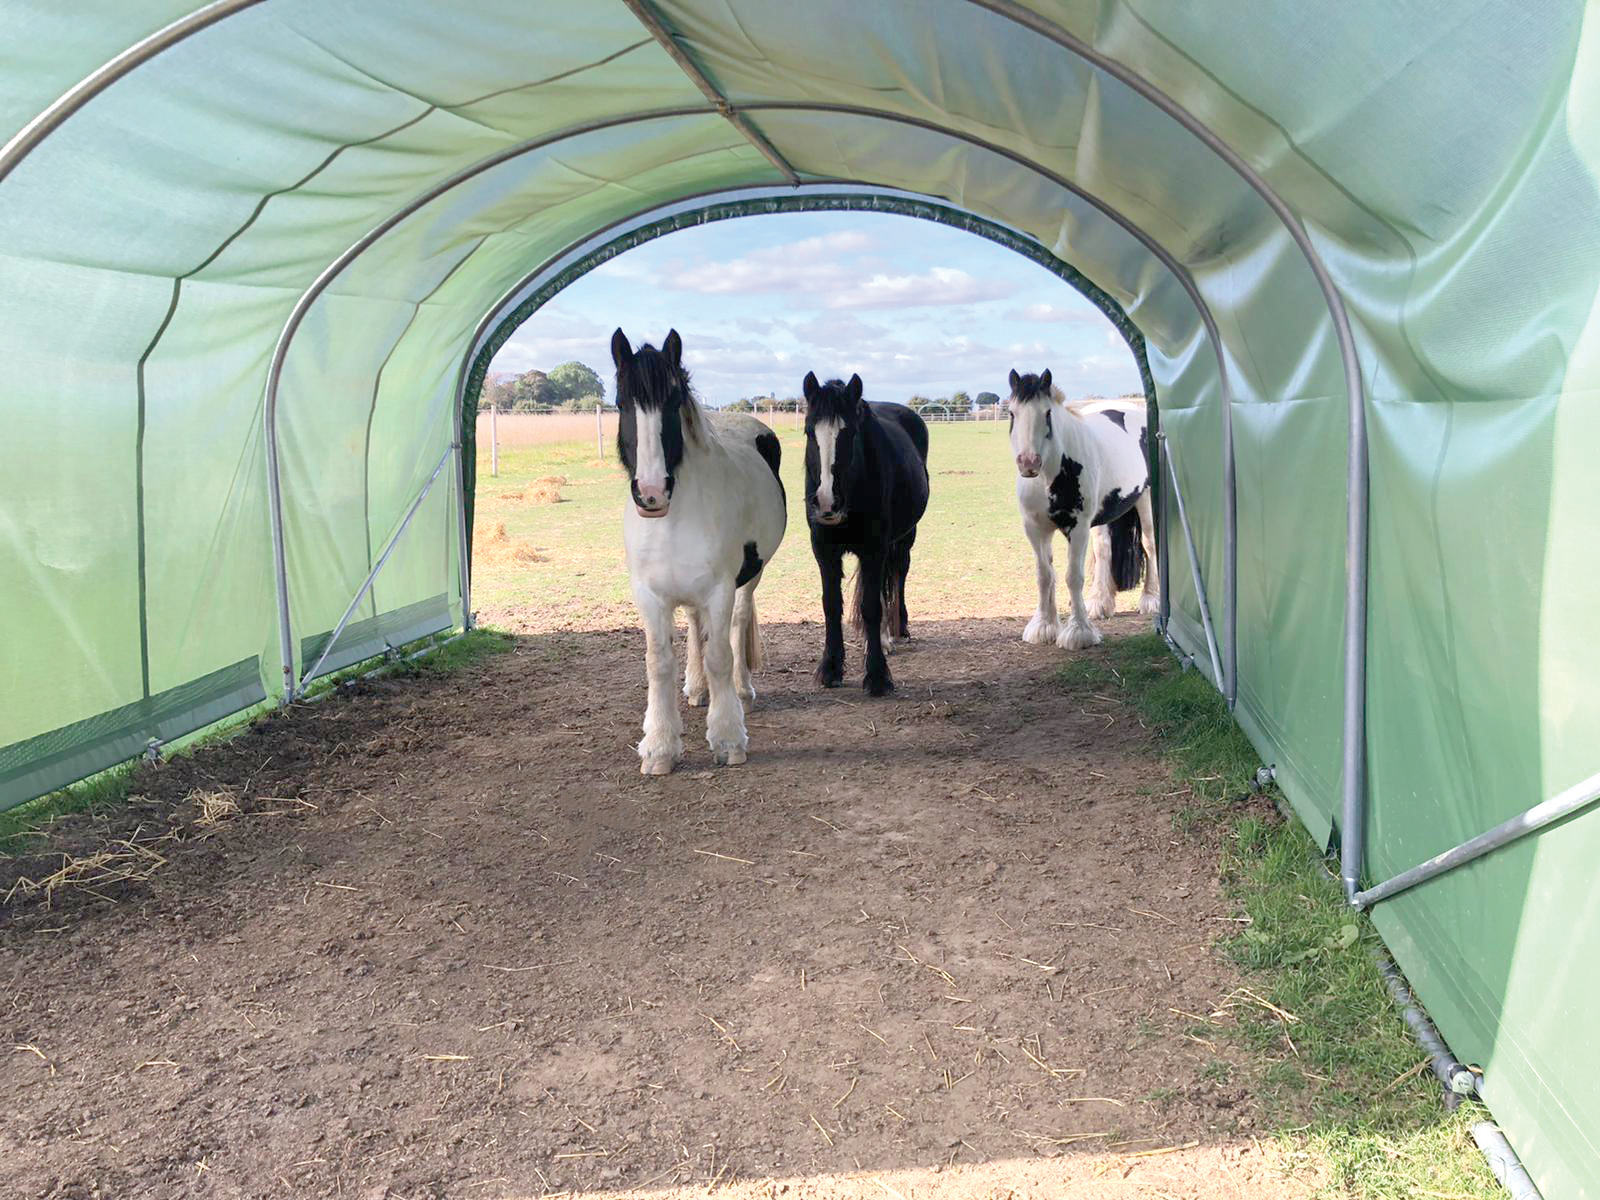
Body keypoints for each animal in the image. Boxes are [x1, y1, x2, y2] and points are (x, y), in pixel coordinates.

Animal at [612, 328, 787, 775]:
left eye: (673, 403)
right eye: (621, 402)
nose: (651, 492)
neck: (672, 518)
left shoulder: (719, 589)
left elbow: (721, 655)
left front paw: (728, 738)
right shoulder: (649, 595)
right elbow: (659, 663)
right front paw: (659, 747)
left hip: (751, 575)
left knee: (738, 623)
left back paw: (741, 692)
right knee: (694, 625)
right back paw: (695, 687)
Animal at [802, 372, 930, 696]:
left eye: (849, 434)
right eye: (809, 431)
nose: (826, 502)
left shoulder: (874, 548)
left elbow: (871, 606)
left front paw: (877, 676)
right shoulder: (823, 550)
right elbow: (831, 605)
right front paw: (830, 668)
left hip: (904, 538)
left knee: (898, 575)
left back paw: (895, 631)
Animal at [1006, 369, 1159, 649]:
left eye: (1047, 413)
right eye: (1012, 413)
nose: (1029, 463)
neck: (1050, 478)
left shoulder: (1076, 529)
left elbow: (1072, 577)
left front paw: (1078, 632)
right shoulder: (1035, 528)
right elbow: (1045, 576)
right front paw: (1044, 626)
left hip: (1145, 500)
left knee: (1149, 544)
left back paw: (1150, 599)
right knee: (1104, 549)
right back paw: (1099, 602)